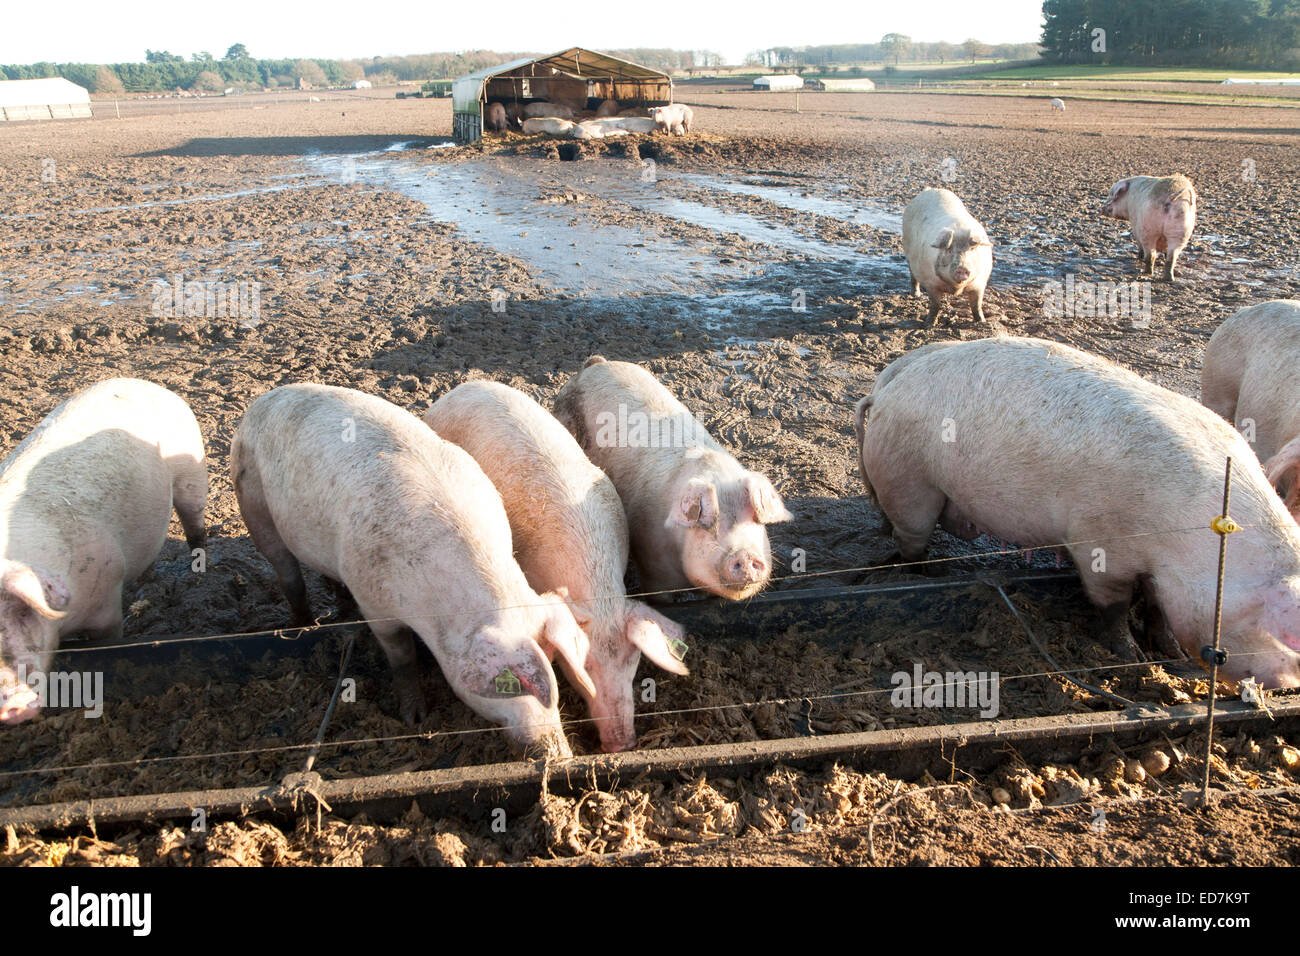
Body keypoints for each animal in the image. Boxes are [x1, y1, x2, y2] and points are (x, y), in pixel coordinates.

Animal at [0, 378, 208, 723]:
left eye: (22, 610)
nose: (8, 703)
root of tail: (144, 383)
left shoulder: (106, 596)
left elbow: (111, 639)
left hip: (193, 471)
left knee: (194, 524)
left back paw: (199, 571)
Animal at [231, 384, 592, 757]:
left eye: (554, 665)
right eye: (508, 685)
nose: (559, 753)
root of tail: (264, 399)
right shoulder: (376, 606)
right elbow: (402, 658)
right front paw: (415, 720)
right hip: (251, 499)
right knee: (287, 572)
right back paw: (301, 627)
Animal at [854, 336, 1300, 689]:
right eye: (1275, 628)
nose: (1288, 685)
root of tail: (887, 390)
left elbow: (1157, 607)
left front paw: (1171, 655)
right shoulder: (1099, 544)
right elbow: (1115, 605)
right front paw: (1130, 658)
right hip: (910, 479)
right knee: (911, 542)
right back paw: (928, 577)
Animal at [901, 187, 994, 324]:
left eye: (971, 249)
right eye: (949, 250)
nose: (962, 268)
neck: (956, 288)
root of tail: (930, 189)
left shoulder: (980, 283)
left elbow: (976, 305)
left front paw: (982, 322)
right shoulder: (931, 284)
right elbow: (935, 305)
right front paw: (928, 324)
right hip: (908, 253)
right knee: (913, 276)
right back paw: (916, 295)